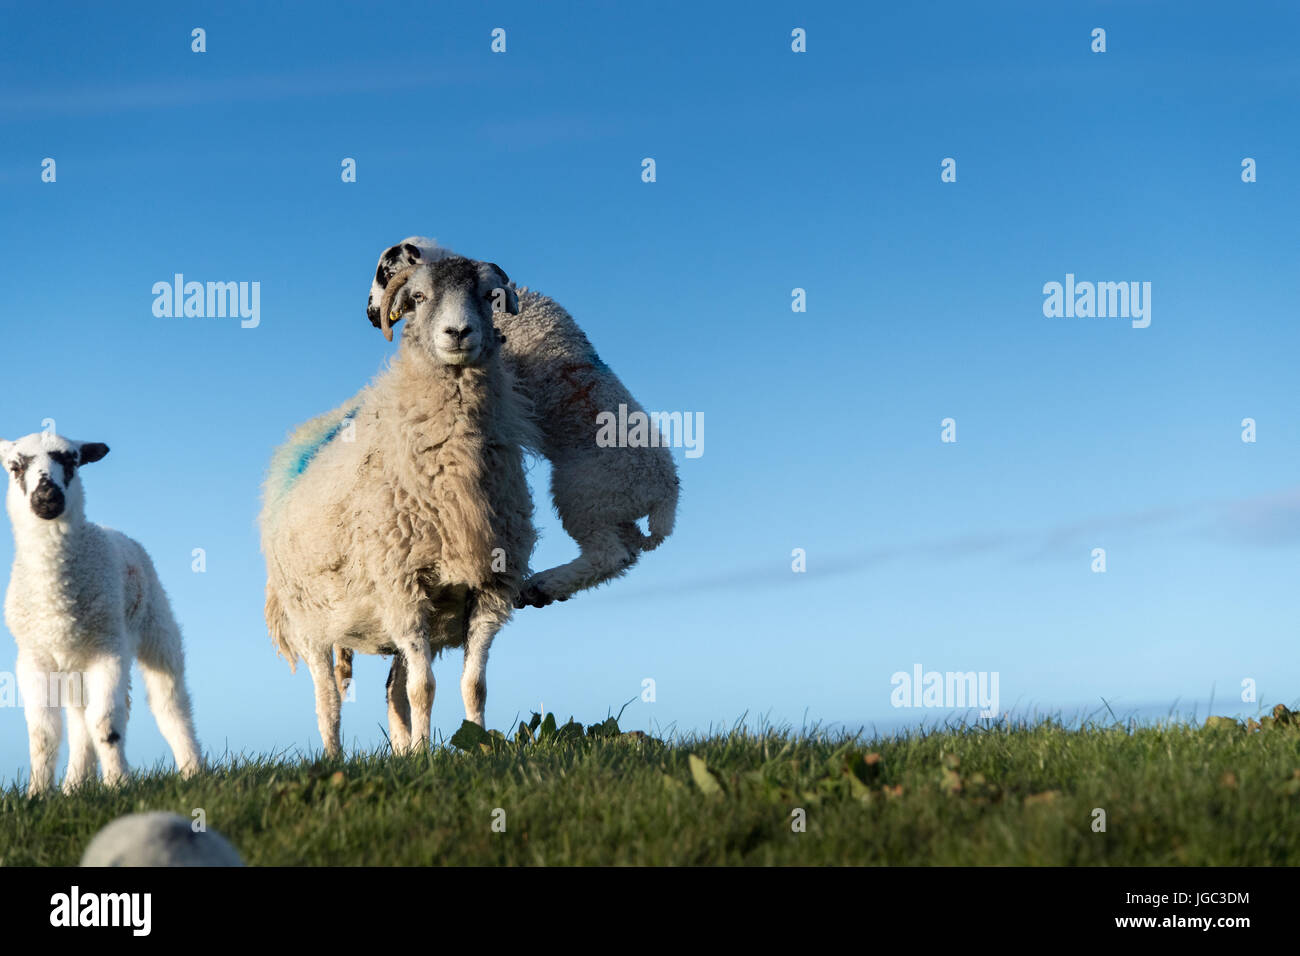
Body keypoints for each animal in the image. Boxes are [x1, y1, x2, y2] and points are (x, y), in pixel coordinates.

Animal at [0, 432, 203, 796]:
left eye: (72, 460)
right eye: (15, 466)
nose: (47, 496)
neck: (57, 599)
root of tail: (108, 527)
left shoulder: (108, 650)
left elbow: (106, 723)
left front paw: (118, 785)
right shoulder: (33, 658)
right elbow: (43, 734)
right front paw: (37, 794)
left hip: (157, 628)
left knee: (170, 703)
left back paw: (193, 770)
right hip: (74, 666)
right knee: (79, 720)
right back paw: (74, 785)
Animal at [261, 257, 537, 756]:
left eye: (489, 295)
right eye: (419, 297)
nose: (458, 333)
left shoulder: (491, 589)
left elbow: (473, 686)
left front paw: (475, 748)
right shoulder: (403, 585)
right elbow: (424, 688)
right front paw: (428, 755)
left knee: (393, 690)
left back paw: (403, 752)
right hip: (310, 621)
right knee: (328, 699)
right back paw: (336, 757)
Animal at [365, 238, 680, 609]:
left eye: (385, 270)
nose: (371, 314)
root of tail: (665, 493)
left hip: (585, 496)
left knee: (608, 554)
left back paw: (541, 585)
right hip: (612, 511)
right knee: (624, 555)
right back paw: (545, 589)